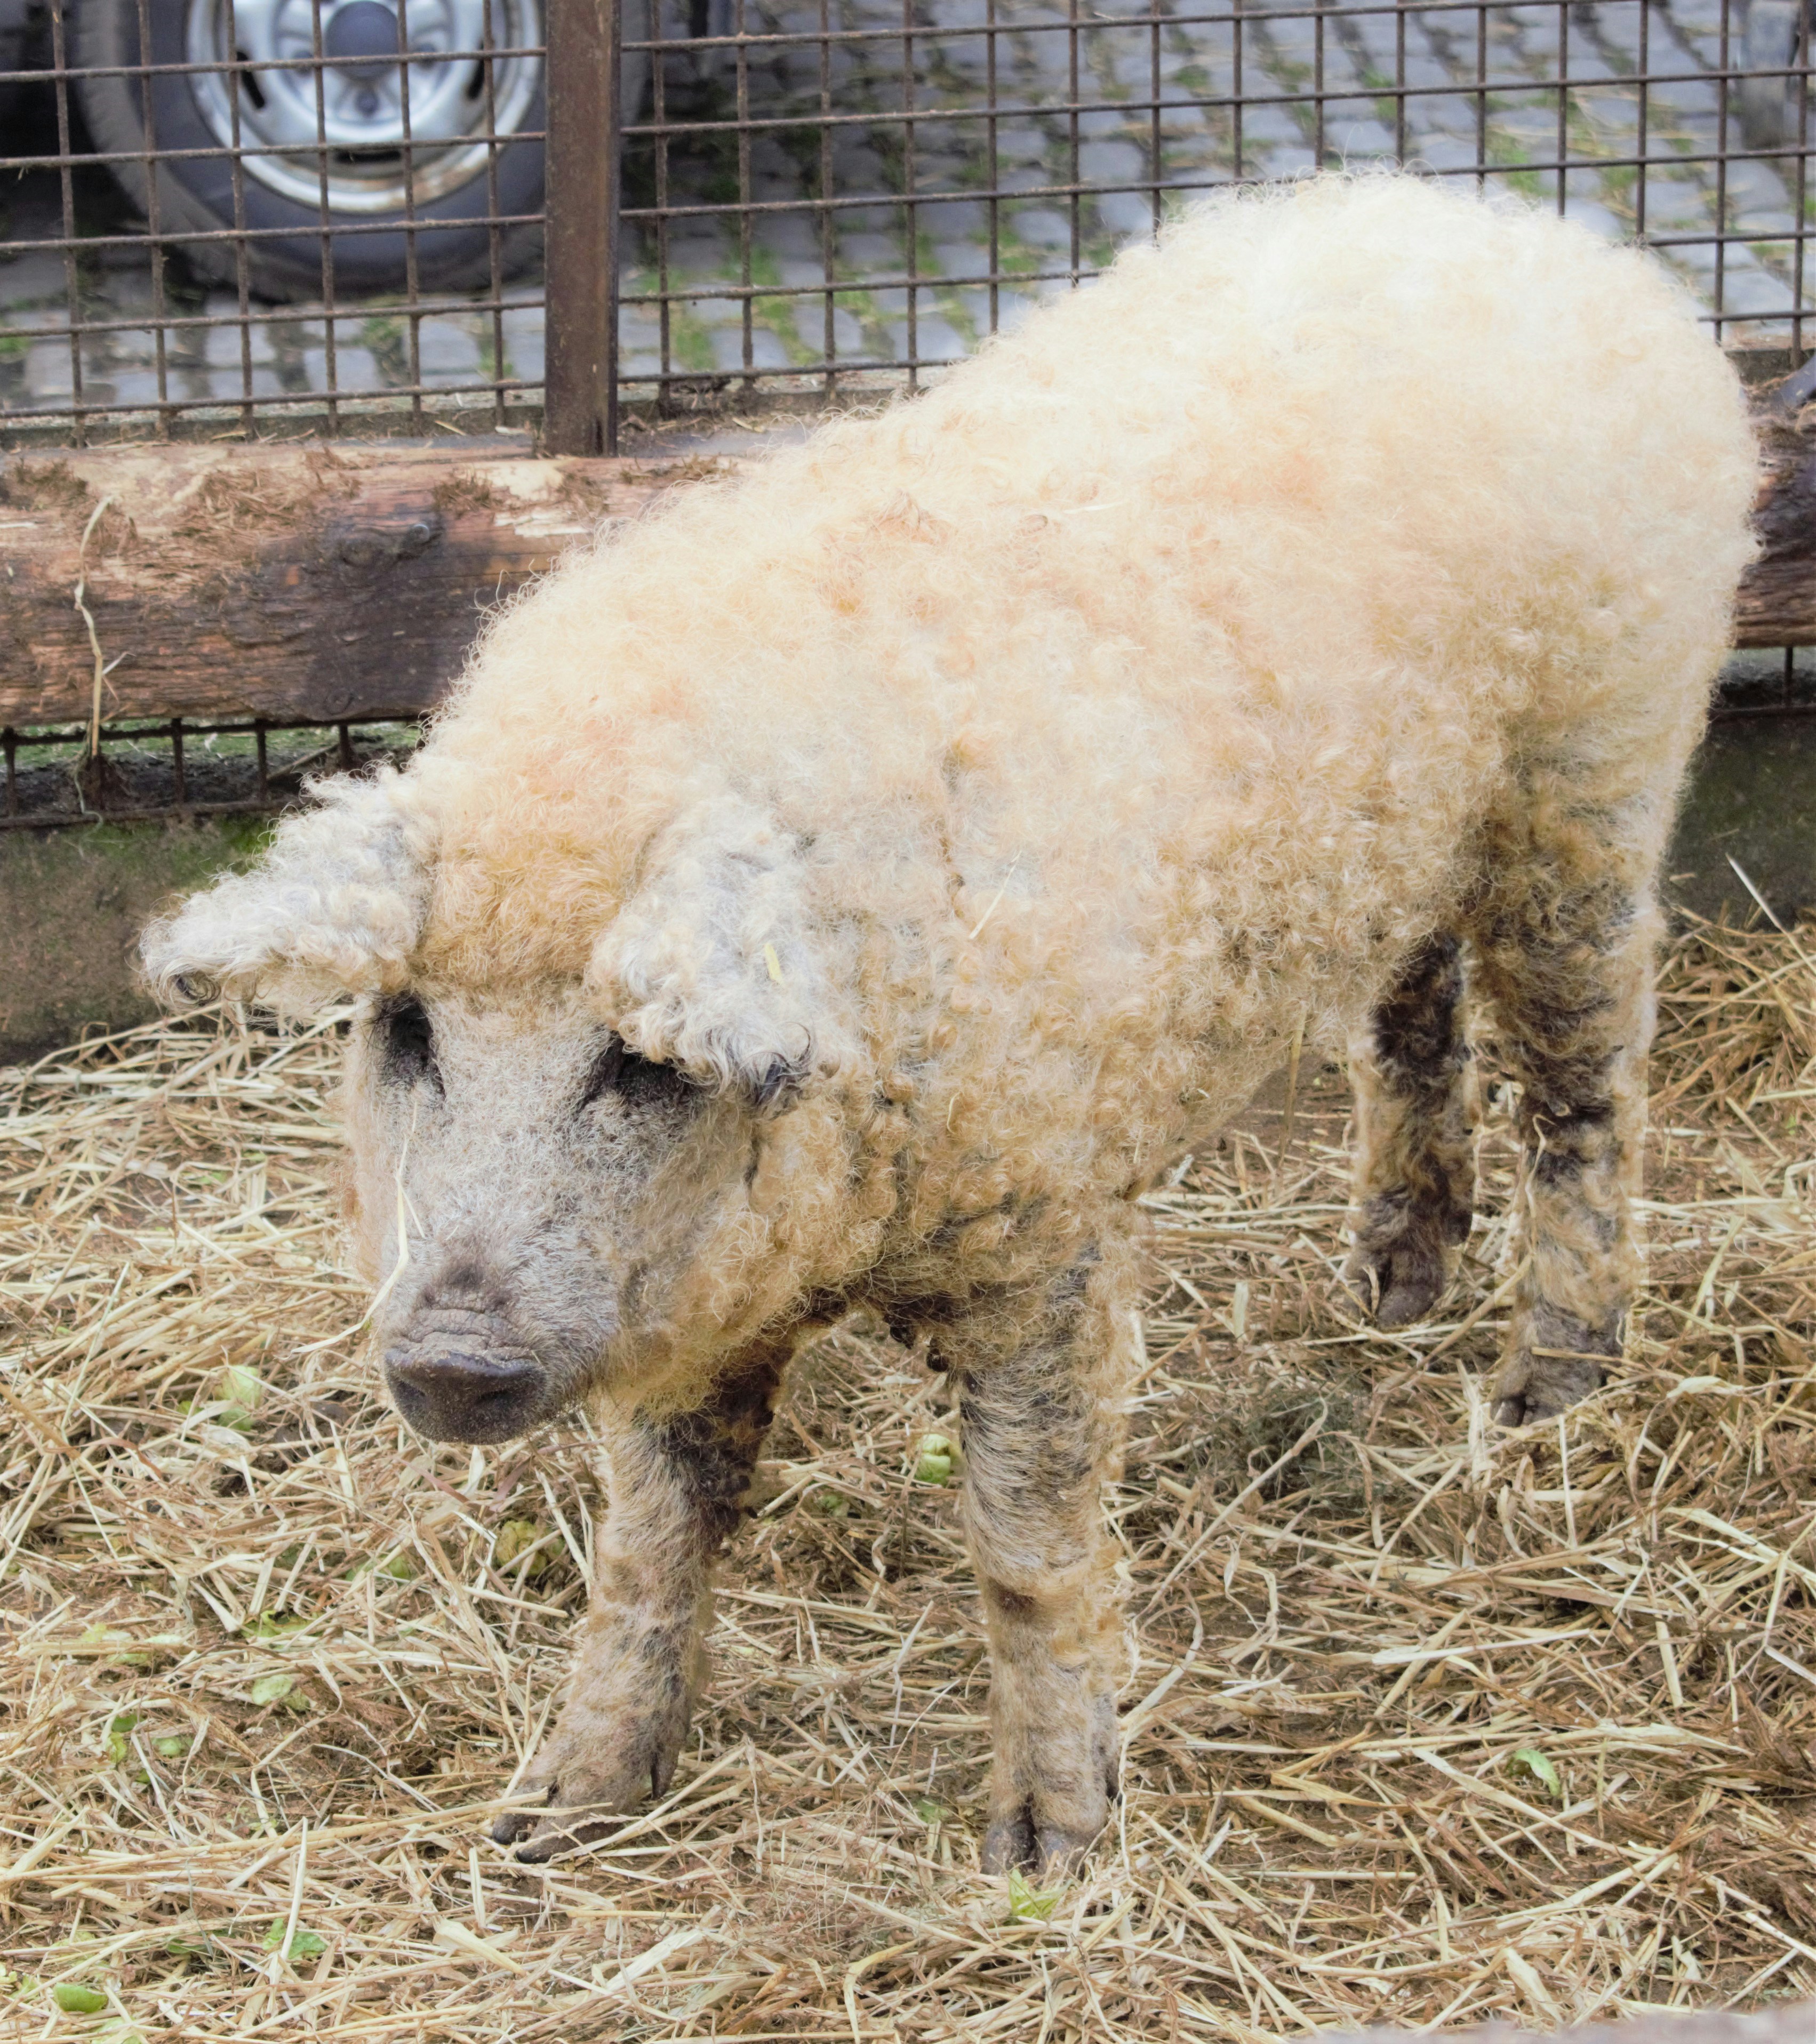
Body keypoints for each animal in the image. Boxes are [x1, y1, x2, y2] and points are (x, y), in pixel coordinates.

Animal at [141, 173, 1760, 1872]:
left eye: (637, 1061)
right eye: (406, 1029)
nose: (452, 1354)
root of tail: (1529, 232)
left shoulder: (1046, 1239)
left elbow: (1026, 1546)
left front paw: (1047, 1852)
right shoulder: (681, 1301)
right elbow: (649, 1544)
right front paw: (554, 1813)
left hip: (1590, 778)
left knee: (1585, 1084)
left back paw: (1539, 1391)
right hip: (1414, 818)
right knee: (1409, 1005)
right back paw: (1387, 1286)